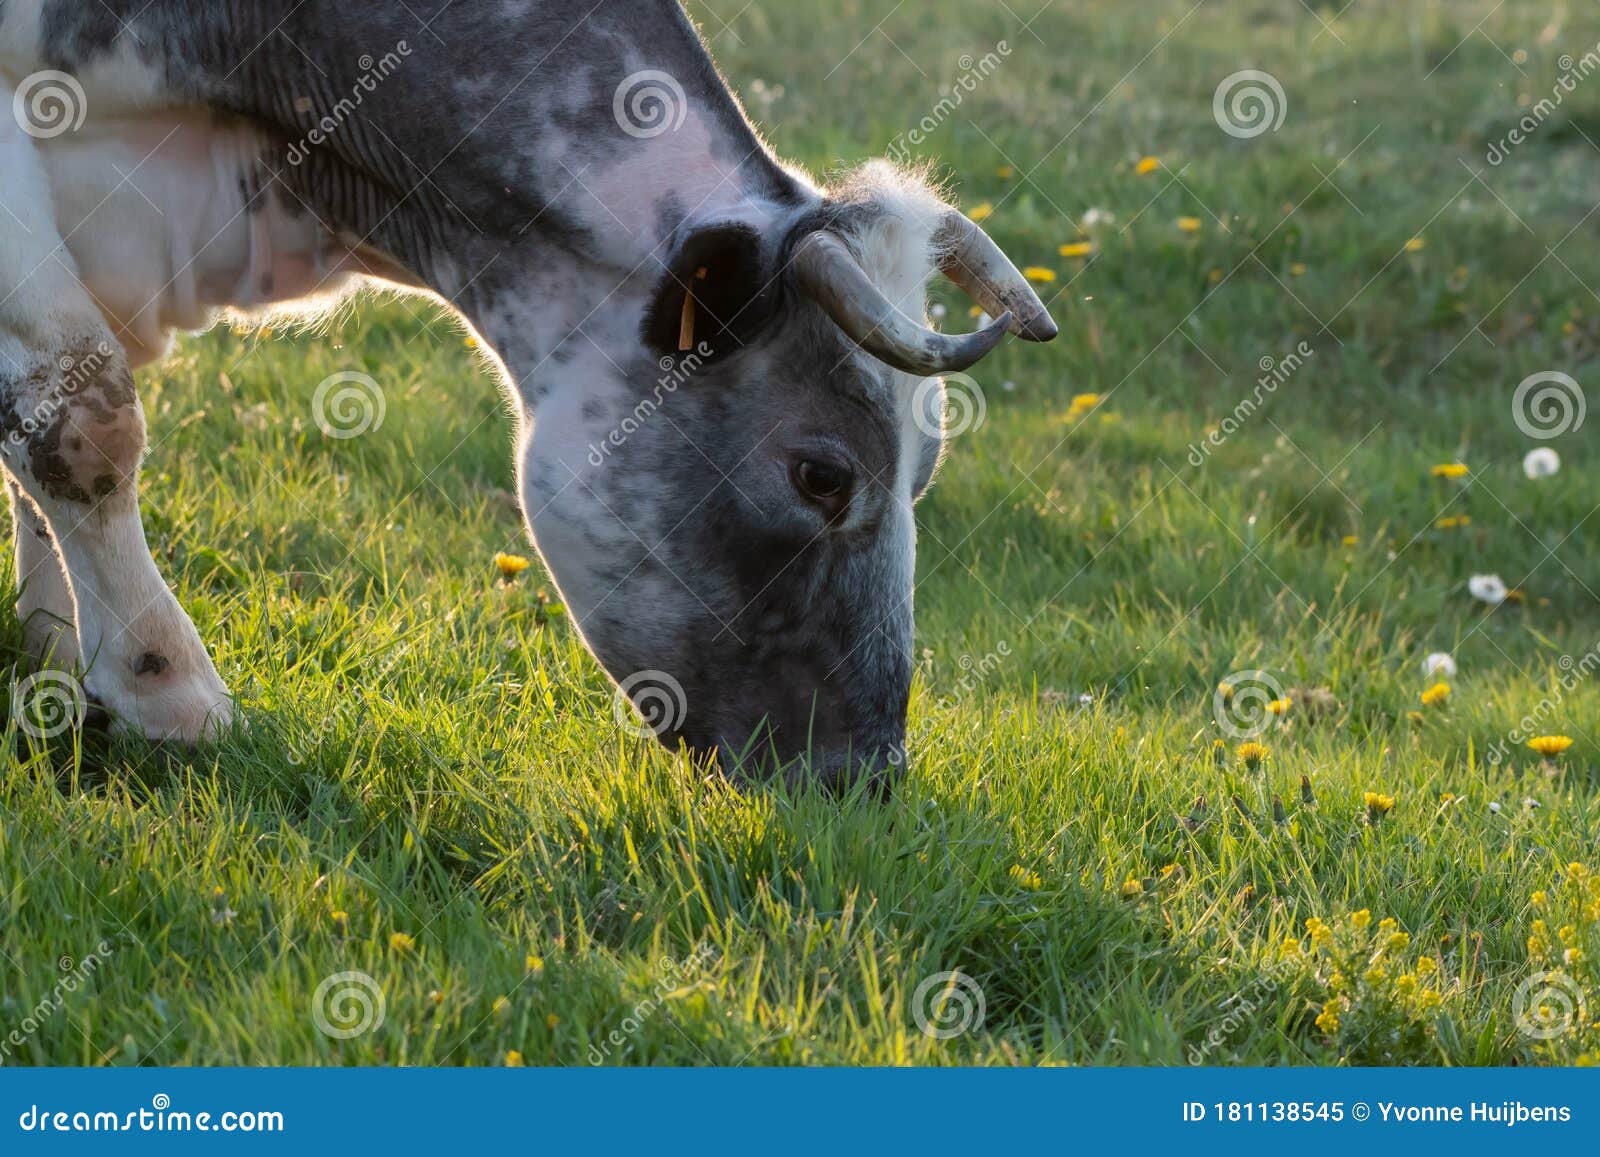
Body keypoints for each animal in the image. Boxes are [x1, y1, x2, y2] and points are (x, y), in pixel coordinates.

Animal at [0, 1, 1056, 788]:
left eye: (924, 474)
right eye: (821, 474)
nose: (867, 775)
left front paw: (51, 656)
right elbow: (82, 417)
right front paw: (163, 688)